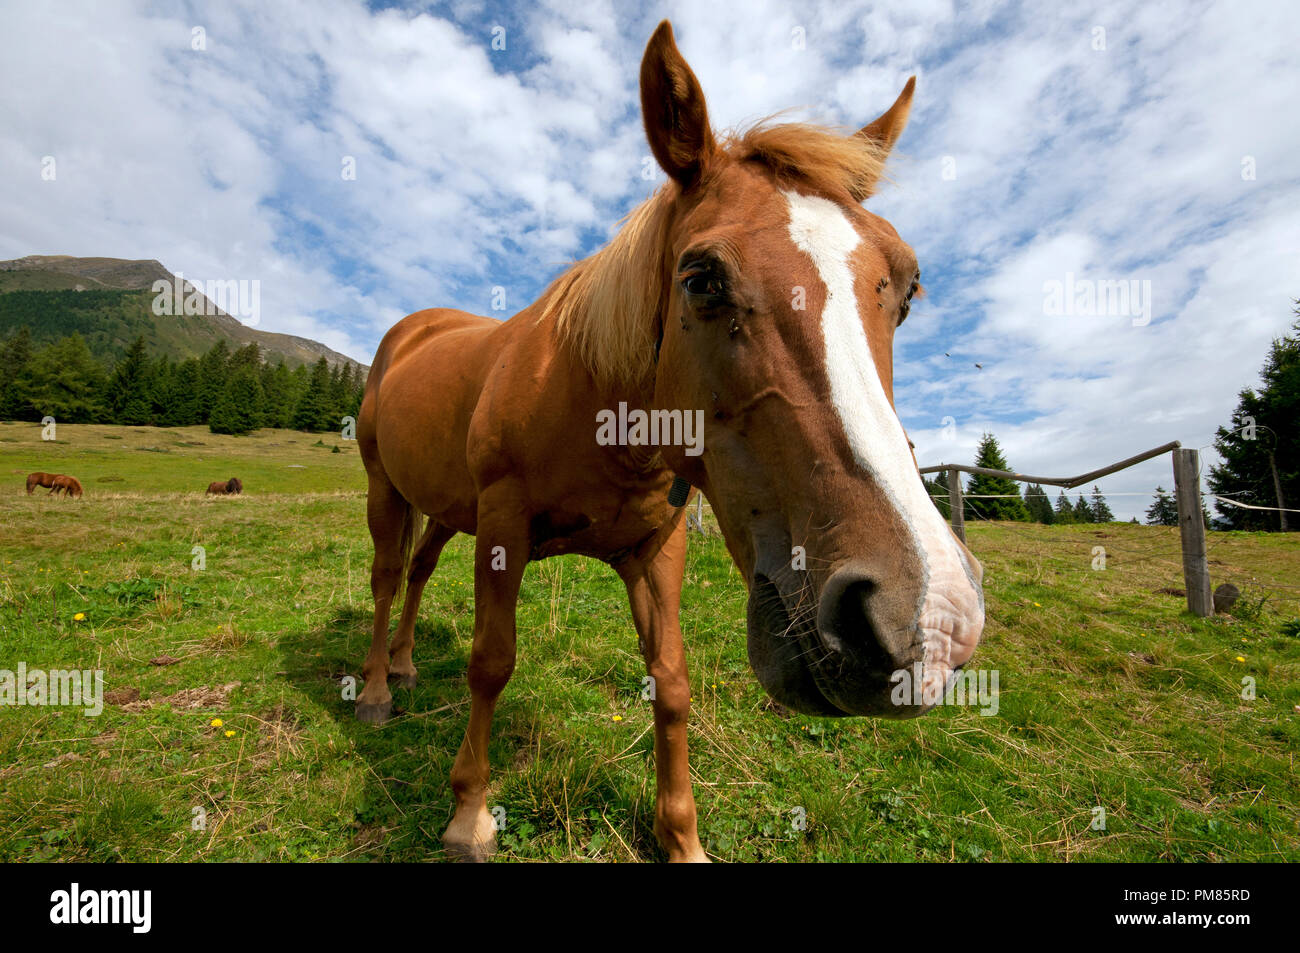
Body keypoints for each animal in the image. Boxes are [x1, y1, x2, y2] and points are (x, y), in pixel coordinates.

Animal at [355, 20, 984, 863]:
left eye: (908, 288)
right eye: (702, 278)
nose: (926, 616)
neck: (597, 405)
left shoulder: (656, 548)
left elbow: (674, 681)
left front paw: (681, 836)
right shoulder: (503, 524)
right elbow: (492, 662)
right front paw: (468, 812)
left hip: (446, 506)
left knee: (418, 572)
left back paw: (404, 664)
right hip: (386, 488)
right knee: (387, 577)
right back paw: (375, 687)